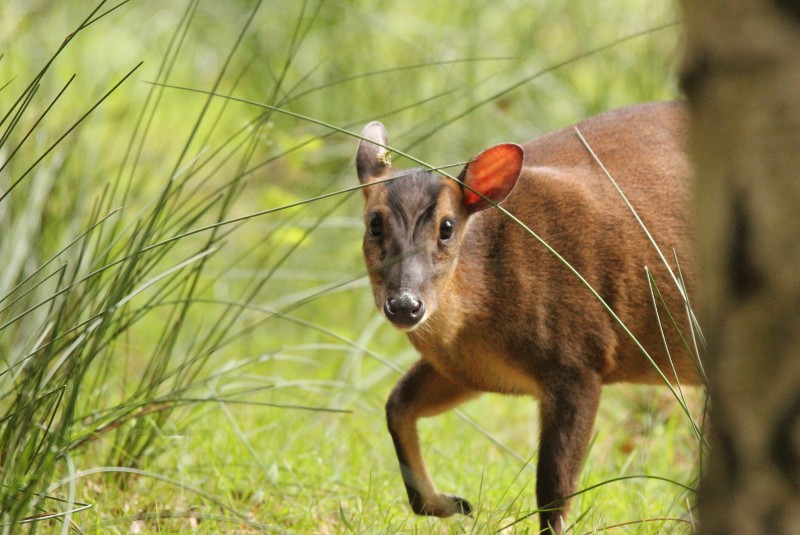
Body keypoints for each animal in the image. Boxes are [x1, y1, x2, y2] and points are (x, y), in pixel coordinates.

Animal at [355, 101, 700, 534]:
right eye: (374, 222)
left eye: (447, 227)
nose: (404, 304)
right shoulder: (469, 371)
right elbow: (397, 405)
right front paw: (452, 503)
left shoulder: (579, 359)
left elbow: (553, 489)